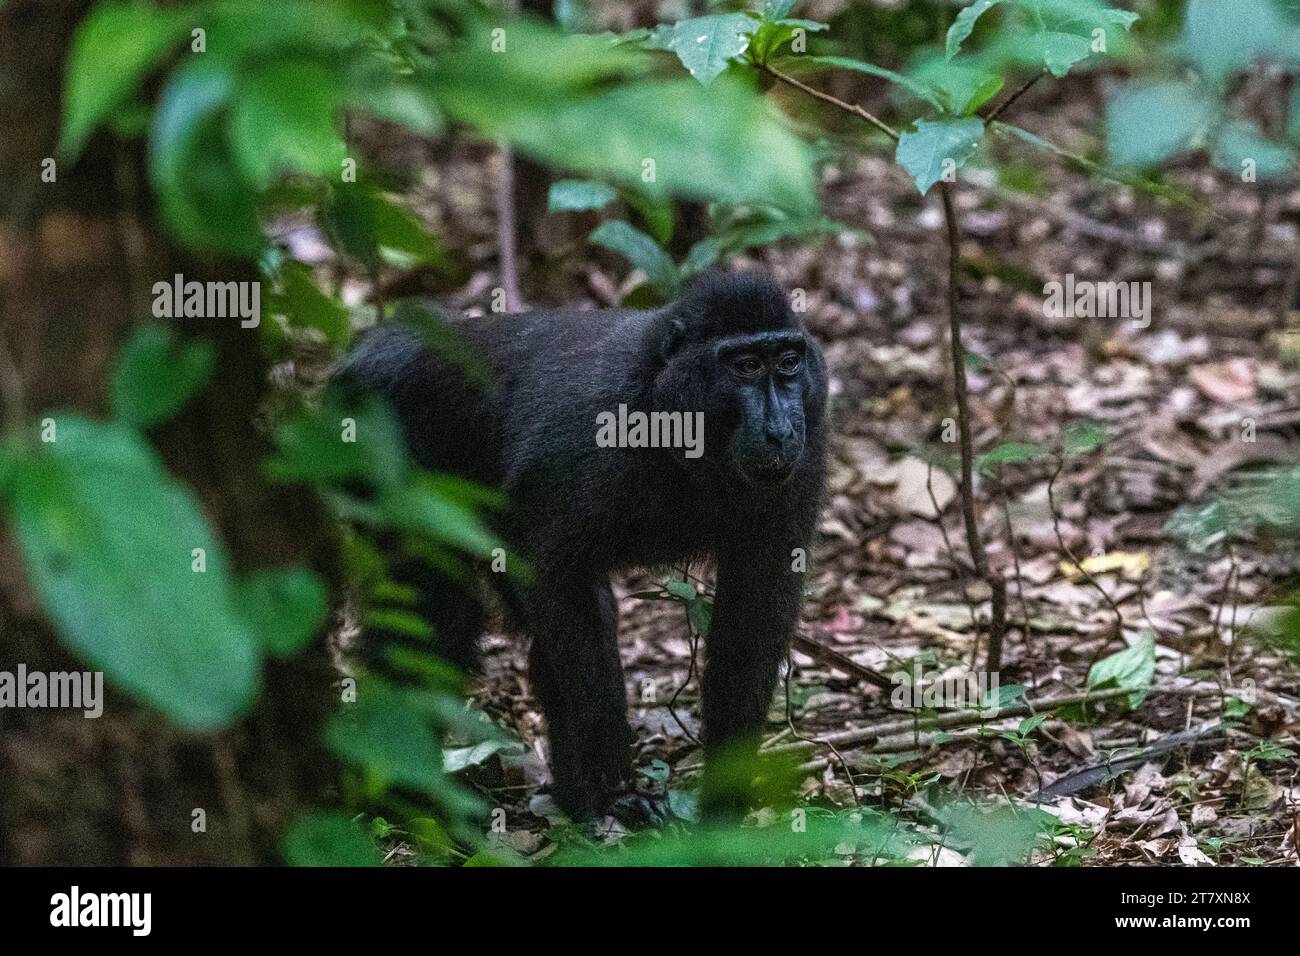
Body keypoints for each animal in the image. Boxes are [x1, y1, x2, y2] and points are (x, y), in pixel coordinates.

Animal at [335, 272, 828, 823]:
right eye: (744, 366)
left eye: (788, 362)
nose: (779, 430)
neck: (670, 412)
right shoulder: (589, 434)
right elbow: (560, 583)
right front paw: (616, 777)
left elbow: (753, 612)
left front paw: (725, 805)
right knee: (437, 615)